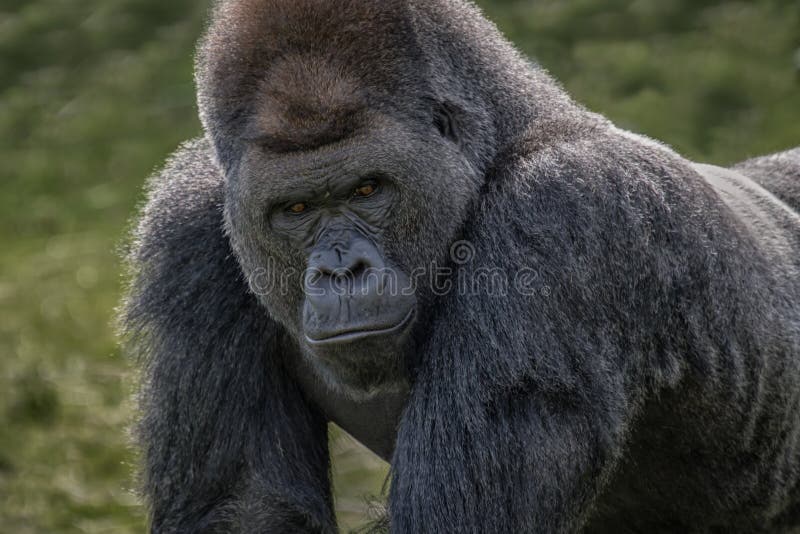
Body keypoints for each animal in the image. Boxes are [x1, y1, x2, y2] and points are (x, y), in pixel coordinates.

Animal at [120, 0, 800, 532]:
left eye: (368, 189)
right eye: (296, 208)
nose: (342, 272)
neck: (503, 134)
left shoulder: (562, 210)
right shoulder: (191, 226)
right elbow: (245, 505)